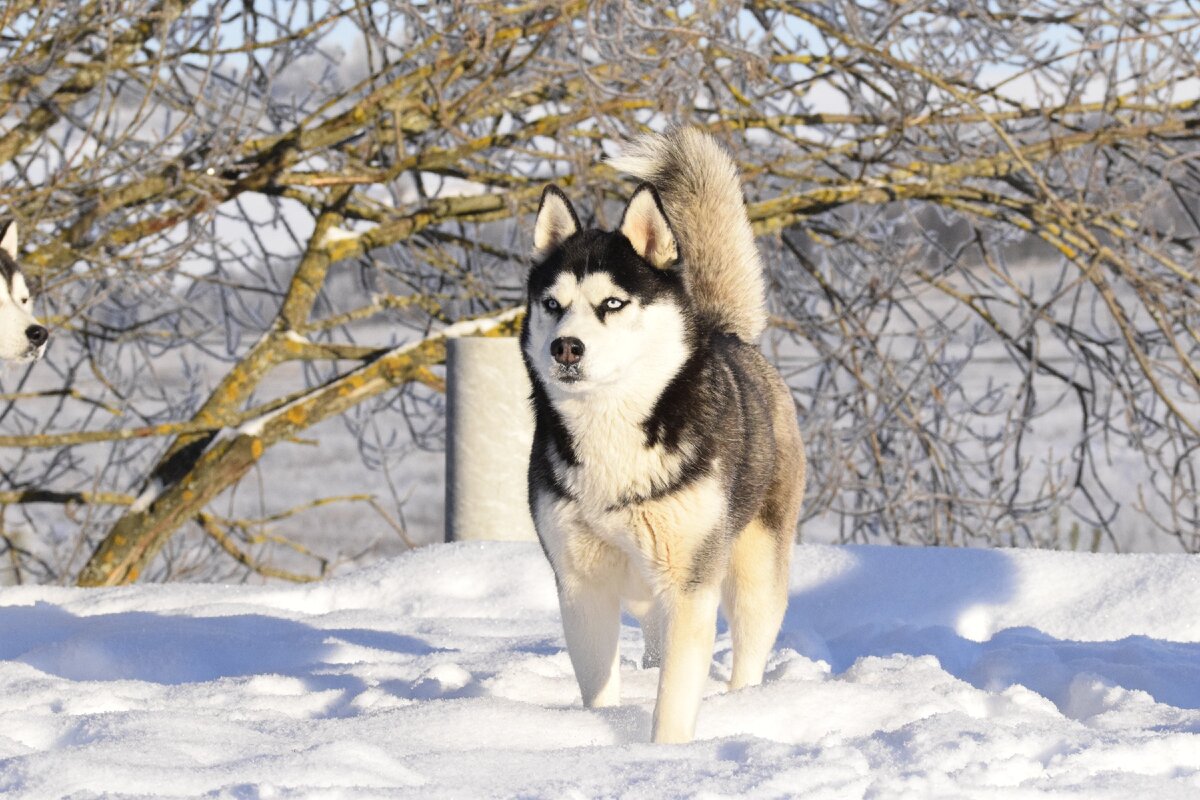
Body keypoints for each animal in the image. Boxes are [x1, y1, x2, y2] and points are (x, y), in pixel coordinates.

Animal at [518, 128, 806, 748]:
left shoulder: (689, 584)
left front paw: (664, 755)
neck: (610, 428)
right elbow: (598, 685)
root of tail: (727, 333)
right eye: (552, 304)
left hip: (753, 567)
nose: (565, 347)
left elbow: (675, 695)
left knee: (749, 644)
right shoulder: (580, 585)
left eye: (612, 303)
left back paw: (746, 706)